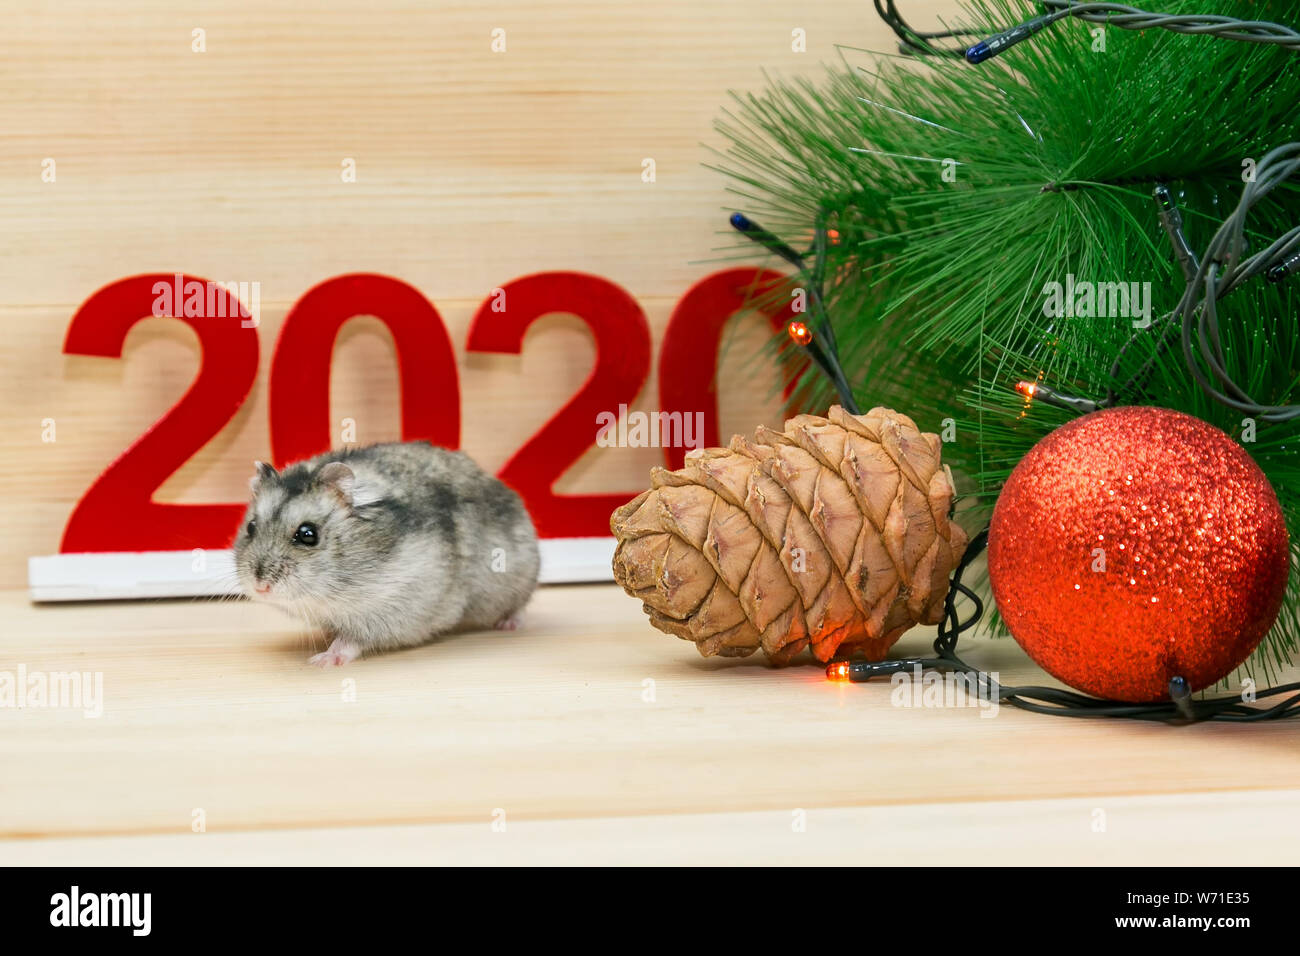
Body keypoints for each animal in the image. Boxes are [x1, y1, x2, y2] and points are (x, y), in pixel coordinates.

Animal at [233, 441, 540, 666]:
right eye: (250, 527)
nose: (260, 587)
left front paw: (322, 659)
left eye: (308, 534)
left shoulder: (391, 609)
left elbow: (352, 640)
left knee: (519, 605)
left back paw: (509, 624)